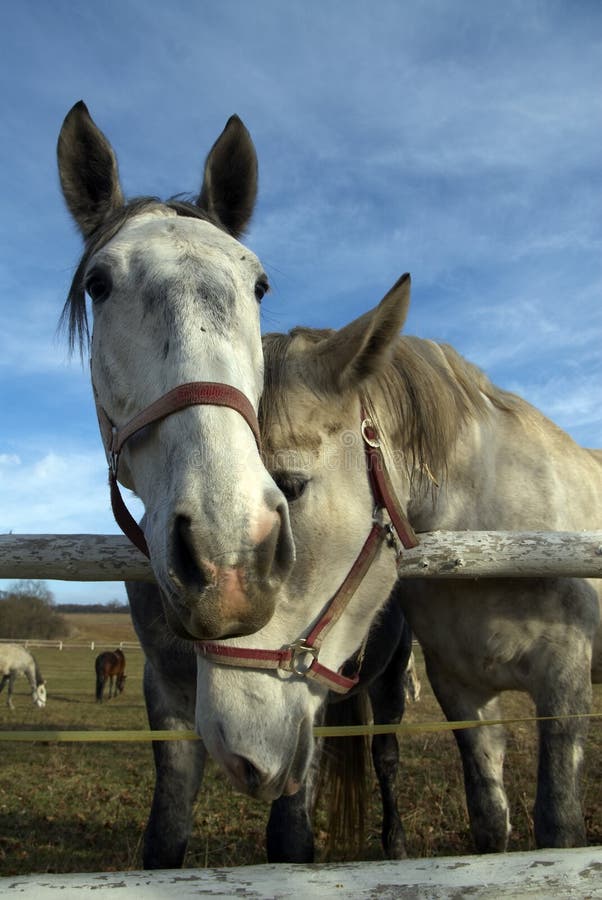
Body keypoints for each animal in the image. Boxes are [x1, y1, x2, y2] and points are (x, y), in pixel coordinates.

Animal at [195, 278, 596, 856]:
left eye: (290, 487)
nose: (231, 750)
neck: (497, 541)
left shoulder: (565, 685)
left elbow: (559, 827)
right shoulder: (463, 691)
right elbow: (489, 821)